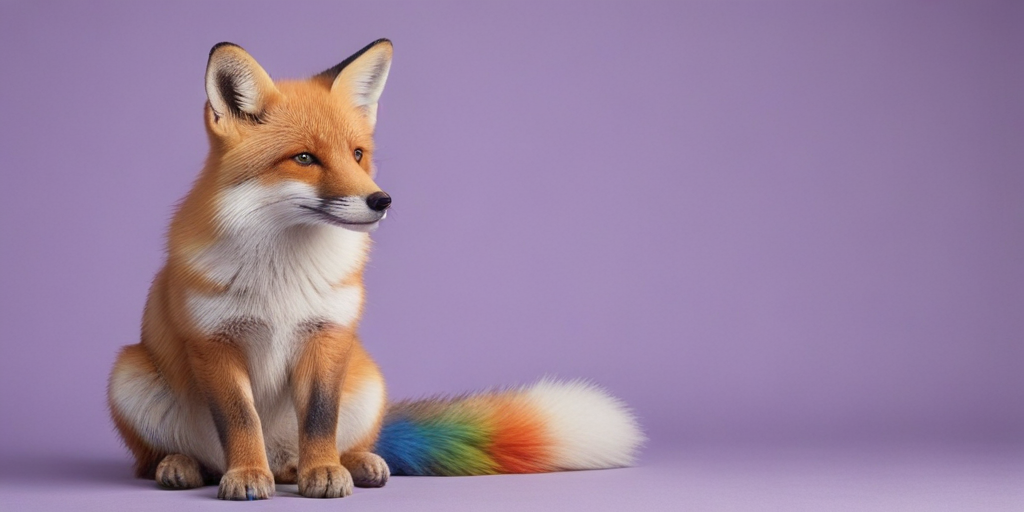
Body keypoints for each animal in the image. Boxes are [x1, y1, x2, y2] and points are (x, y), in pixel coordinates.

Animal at [106, 39, 644, 500]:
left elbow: (320, 419)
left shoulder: (328, 334)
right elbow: (241, 421)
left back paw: (350, 463)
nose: (381, 200)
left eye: (358, 154)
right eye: (305, 158)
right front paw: (246, 474)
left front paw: (324, 471)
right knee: (159, 458)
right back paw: (183, 465)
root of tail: (281, 457)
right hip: (129, 373)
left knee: (335, 446)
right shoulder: (215, 343)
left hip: (366, 378)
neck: (283, 277)